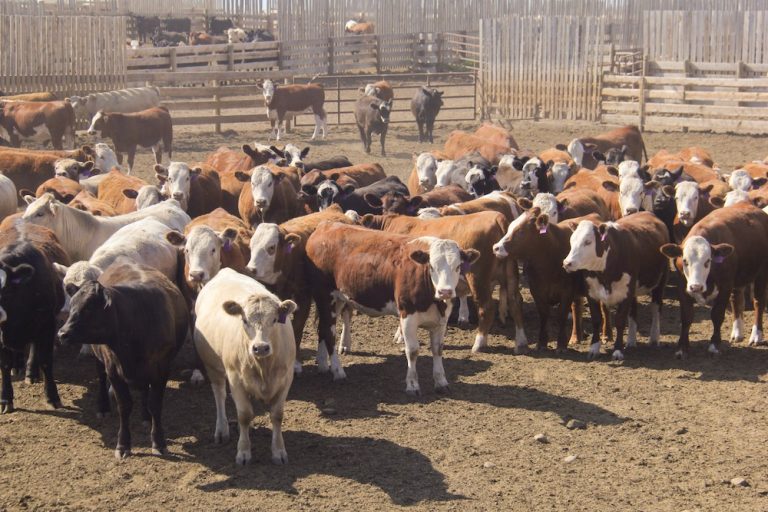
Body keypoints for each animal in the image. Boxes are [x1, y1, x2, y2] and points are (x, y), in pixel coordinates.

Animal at [0, 222, 69, 414]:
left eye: (4, 290)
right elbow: (4, 365)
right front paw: (6, 399)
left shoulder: (47, 324)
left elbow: (45, 360)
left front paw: (52, 396)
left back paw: (31, 371)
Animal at [57, 261, 189, 458]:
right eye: (72, 304)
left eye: (88, 308)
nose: (62, 334)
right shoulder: (114, 371)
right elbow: (124, 406)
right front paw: (123, 445)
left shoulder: (161, 369)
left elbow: (155, 404)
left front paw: (159, 442)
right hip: (99, 358)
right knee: (101, 377)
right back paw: (103, 407)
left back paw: (145, 416)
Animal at [193, 268, 295, 465]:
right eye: (245, 320)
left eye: (274, 320)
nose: (260, 347)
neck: (264, 366)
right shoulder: (235, 380)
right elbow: (244, 415)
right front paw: (243, 451)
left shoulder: (286, 379)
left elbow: (277, 415)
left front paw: (278, 451)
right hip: (212, 366)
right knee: (219, 395)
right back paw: (222, 430)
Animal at [562, 212, 669, 360]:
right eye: (572, 241)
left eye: (588, 241)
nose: (567, 263)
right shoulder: (592, 293)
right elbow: (596, 319)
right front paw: (594, 348)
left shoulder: (625, 293)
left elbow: (620, 320)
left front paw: (618, 350)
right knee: (633, 311)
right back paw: (631, 341)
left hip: (660, 281)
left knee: (656, 308)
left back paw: (654, 338)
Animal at [660, 203, 768, 357]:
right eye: (685, 261)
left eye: (708, 261)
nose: (696, 287)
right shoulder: (682, 286)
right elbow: (686, 317)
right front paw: (682, 347)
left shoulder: (725, 286)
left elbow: (717, 315)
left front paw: (714, 344)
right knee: (737, 301)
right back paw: (737, 333)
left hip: (761, 273)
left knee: (758, 302)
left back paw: (756, 335)